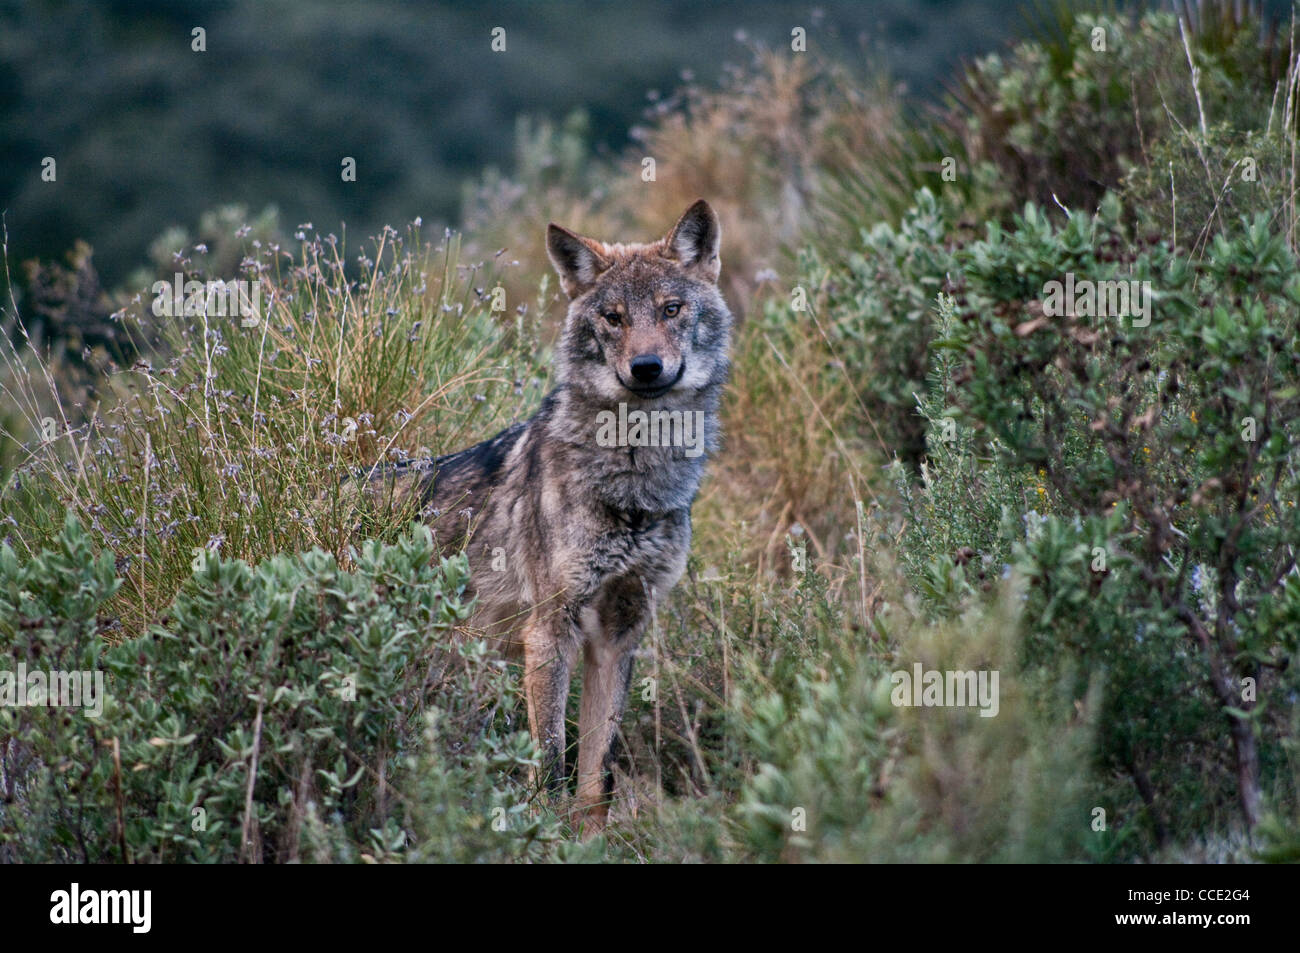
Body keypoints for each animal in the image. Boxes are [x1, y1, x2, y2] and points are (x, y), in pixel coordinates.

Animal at [358, 200, 732, 833]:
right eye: (613, 318)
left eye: (671, 309)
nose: (647, 366)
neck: (636, 487)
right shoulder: (549, 629)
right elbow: (553, 760)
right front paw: (544, 833)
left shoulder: (620, 634)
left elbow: (597, 771)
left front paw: (589, 839)